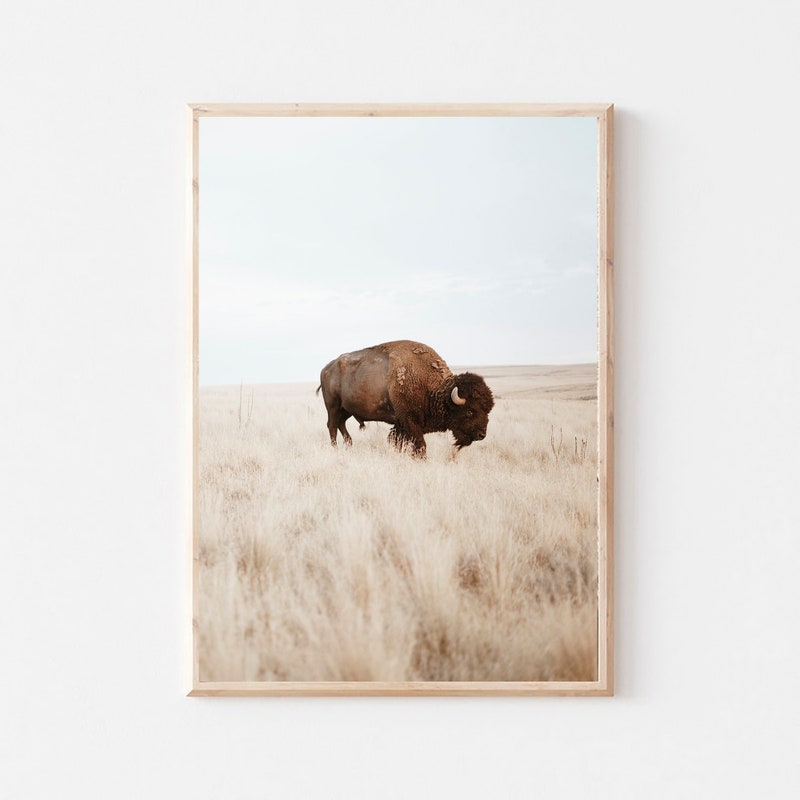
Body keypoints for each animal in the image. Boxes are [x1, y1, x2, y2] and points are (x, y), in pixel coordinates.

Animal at [316, 340, 494, 456]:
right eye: (470, 411)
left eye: (488, 410)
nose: (482, 435)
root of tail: (326, 369)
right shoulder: (410, 421)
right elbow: (420, 445)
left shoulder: (402, 425)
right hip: (333, 407)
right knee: (332, 426)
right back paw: (336, 449)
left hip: (346, 409)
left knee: (341, 424)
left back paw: (349, 445)